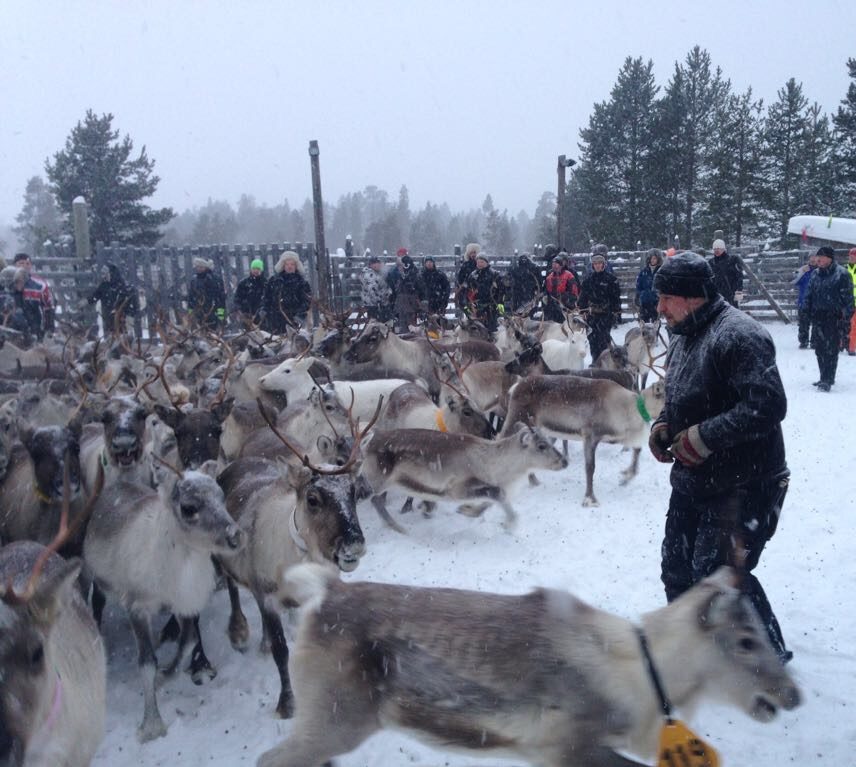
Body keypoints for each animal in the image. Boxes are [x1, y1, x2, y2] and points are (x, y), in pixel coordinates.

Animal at [257, 565, 801, 767]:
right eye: (746, 640)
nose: (794, 696)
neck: (649, 676)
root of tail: (324, 591)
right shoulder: (569, 748)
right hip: (337, 720)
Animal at [500, 375, 666, 507]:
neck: (629, 408)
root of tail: (516, 386)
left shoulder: (618, 437)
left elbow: (637, 449)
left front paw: (626, 477)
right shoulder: (590, 435)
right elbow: (590, 467)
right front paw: (590, 499)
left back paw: (534, 481)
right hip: (516, 418)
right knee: (501, 439)